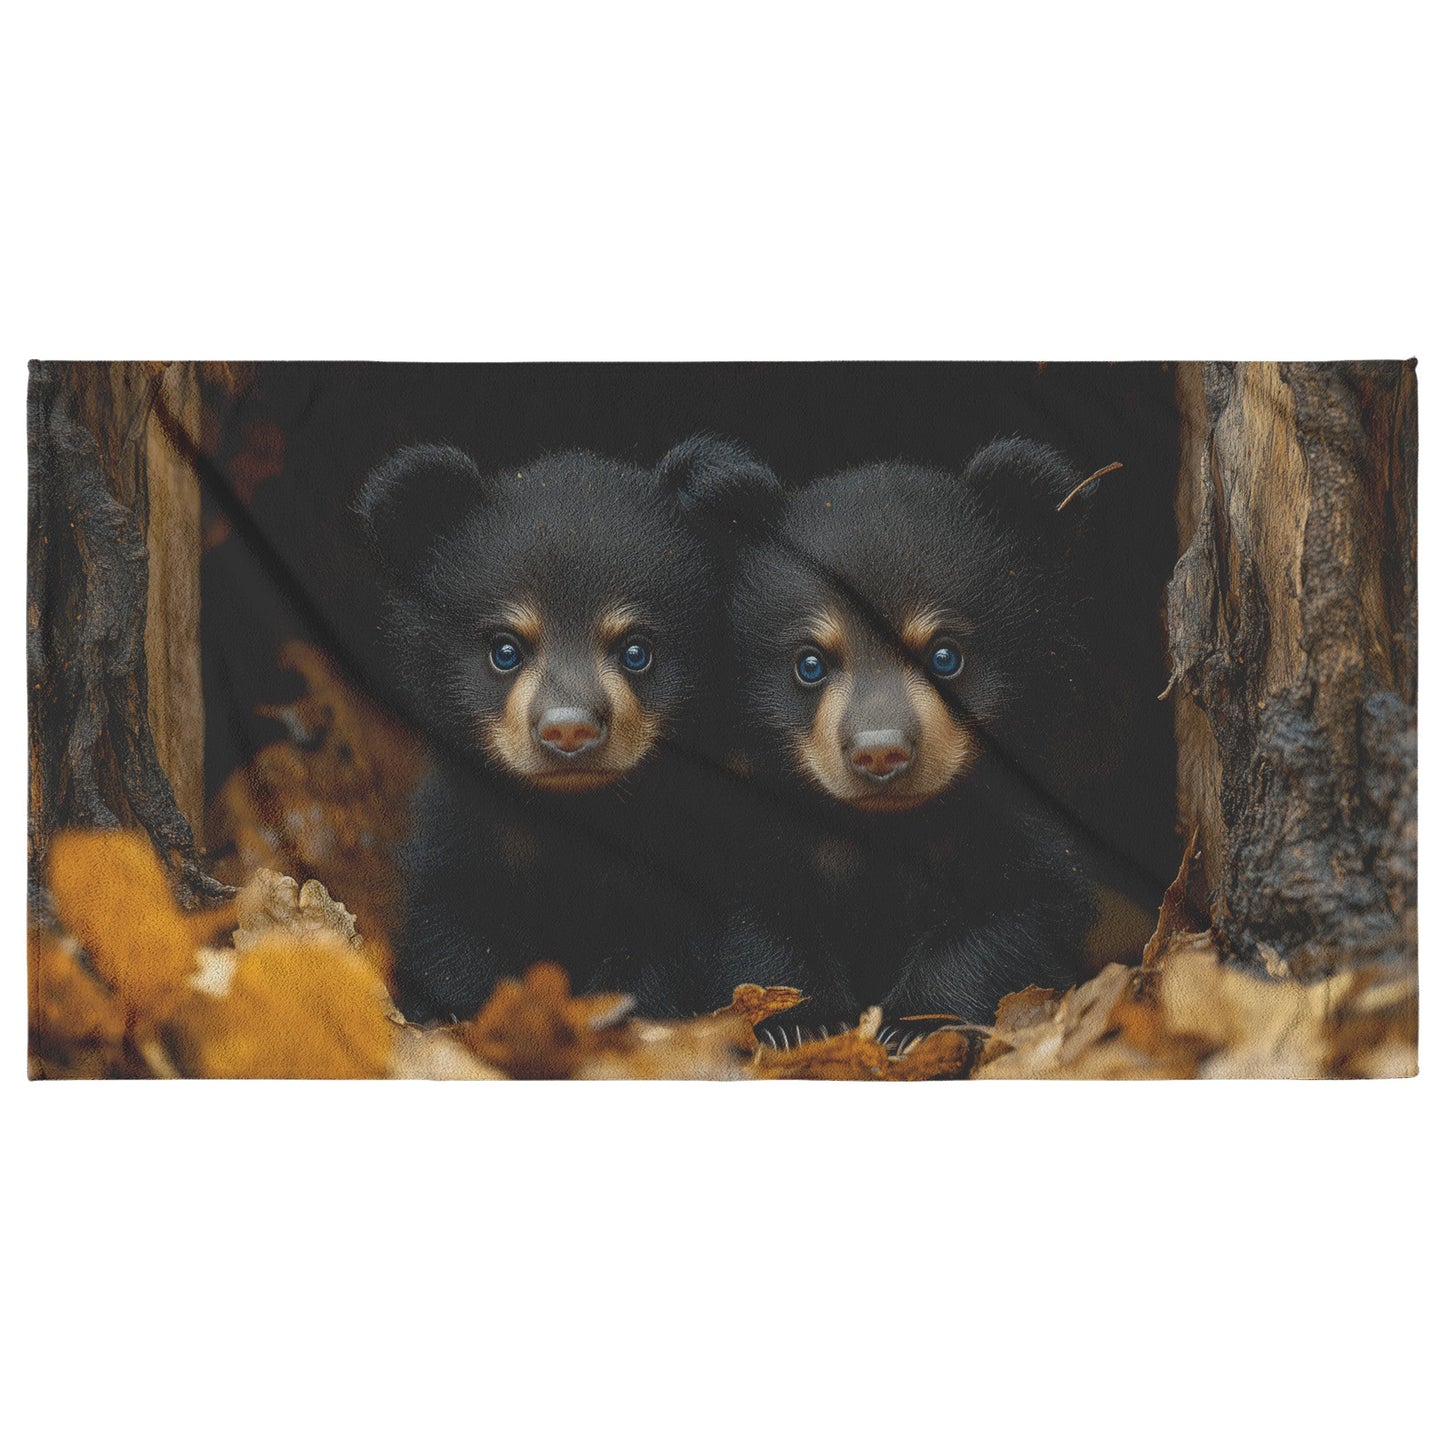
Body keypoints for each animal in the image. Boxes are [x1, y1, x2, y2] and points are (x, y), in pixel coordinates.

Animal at [356, 435, 780, 1024]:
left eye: (636, 651)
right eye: (505, 649)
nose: (569, 731)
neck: (573, 822)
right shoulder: (458, 840)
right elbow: (450, 940)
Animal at [709, 438, 1111, 1047]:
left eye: (944, 655)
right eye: (810, 663)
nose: (880, 752)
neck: (889, 827)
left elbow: (1011, 916)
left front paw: (911, 1030)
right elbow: (757, 911)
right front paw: (798, 1025)